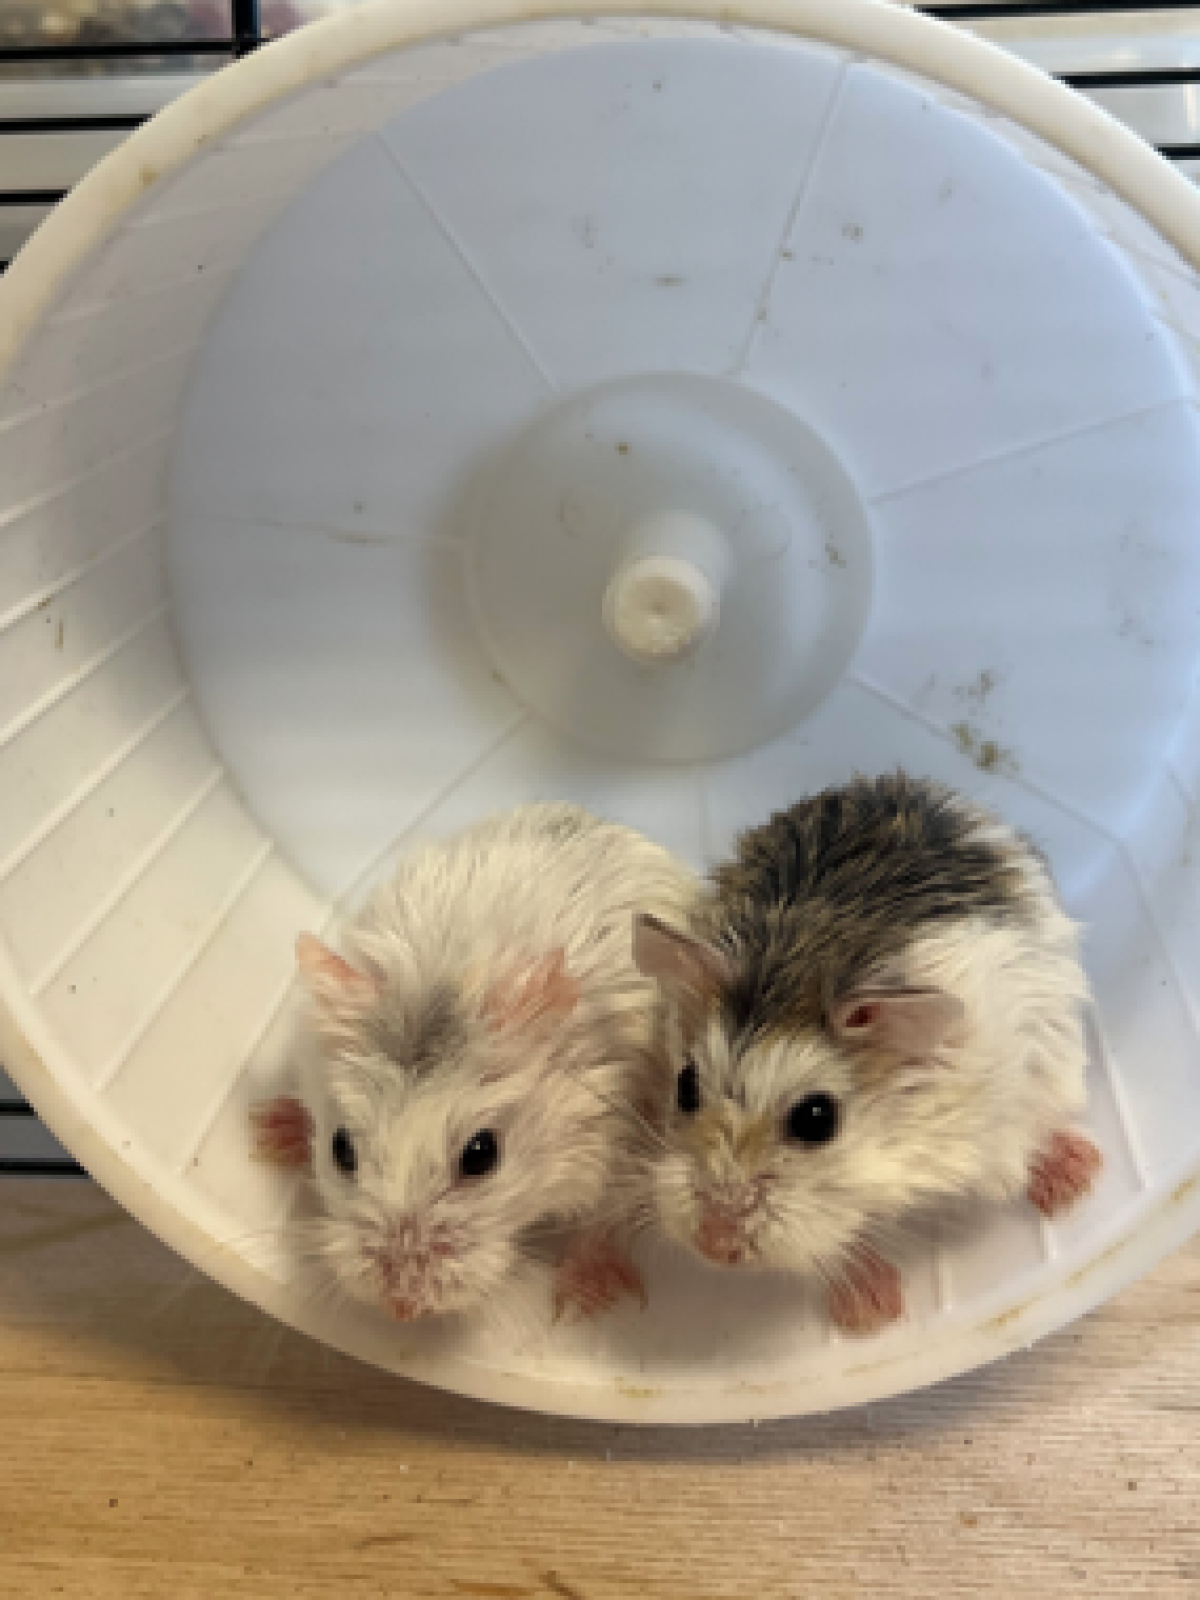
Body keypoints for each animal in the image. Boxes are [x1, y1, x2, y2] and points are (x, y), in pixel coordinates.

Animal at [252, 803, 697, 1324]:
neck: (446, 979)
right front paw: (265, 1133)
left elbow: (603, 1220)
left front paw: (587, 1305)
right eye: (340, 1149)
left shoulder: (622, 1141)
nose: (400, 1308)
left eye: (482, 1155)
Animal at [631, 773, 1101, 1335]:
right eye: (684, 1086)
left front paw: (1074, 1183)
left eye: (817, 1118)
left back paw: (1077, 1177)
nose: (714, 1244)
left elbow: (1027, 1136)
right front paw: (871, 1315)